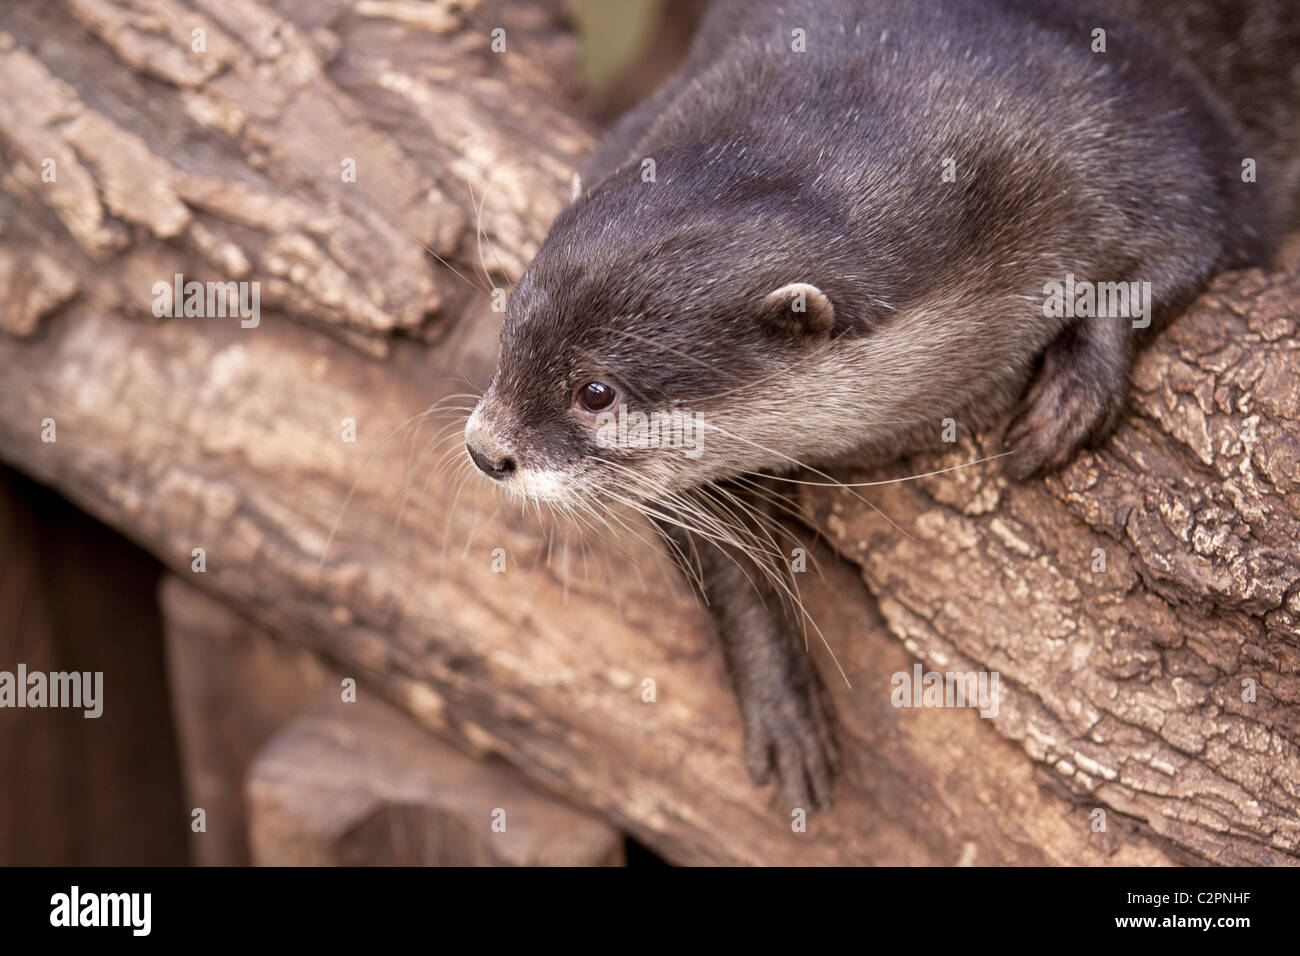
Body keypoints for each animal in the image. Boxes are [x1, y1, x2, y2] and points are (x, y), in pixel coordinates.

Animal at [464, 0, 1299, 809]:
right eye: (513, 328)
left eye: (595, 392)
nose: (485, 449)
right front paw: (780, 702)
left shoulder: (1134, 131)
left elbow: (1203, 232)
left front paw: (1075, 394)